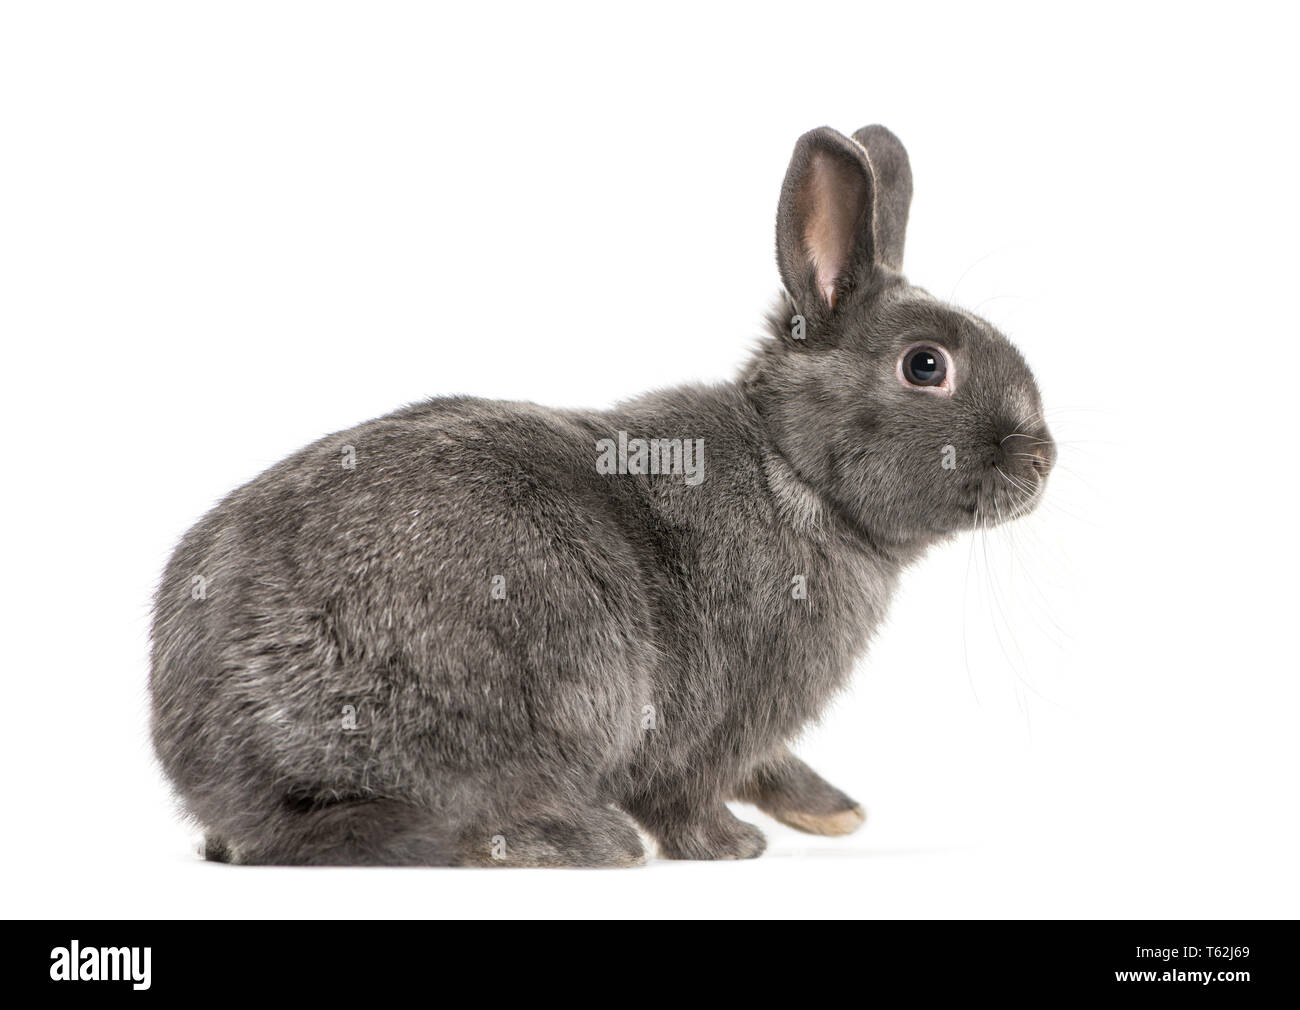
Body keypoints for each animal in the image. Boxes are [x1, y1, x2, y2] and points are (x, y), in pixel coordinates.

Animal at [150, 123, 1054, 866]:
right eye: (926, 365)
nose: (1042, 458)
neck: (794, 472)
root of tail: (227, 772)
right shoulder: (717, 722)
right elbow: (689, 791)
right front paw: (735, 846)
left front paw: (833, 814)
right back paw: (592, 843)